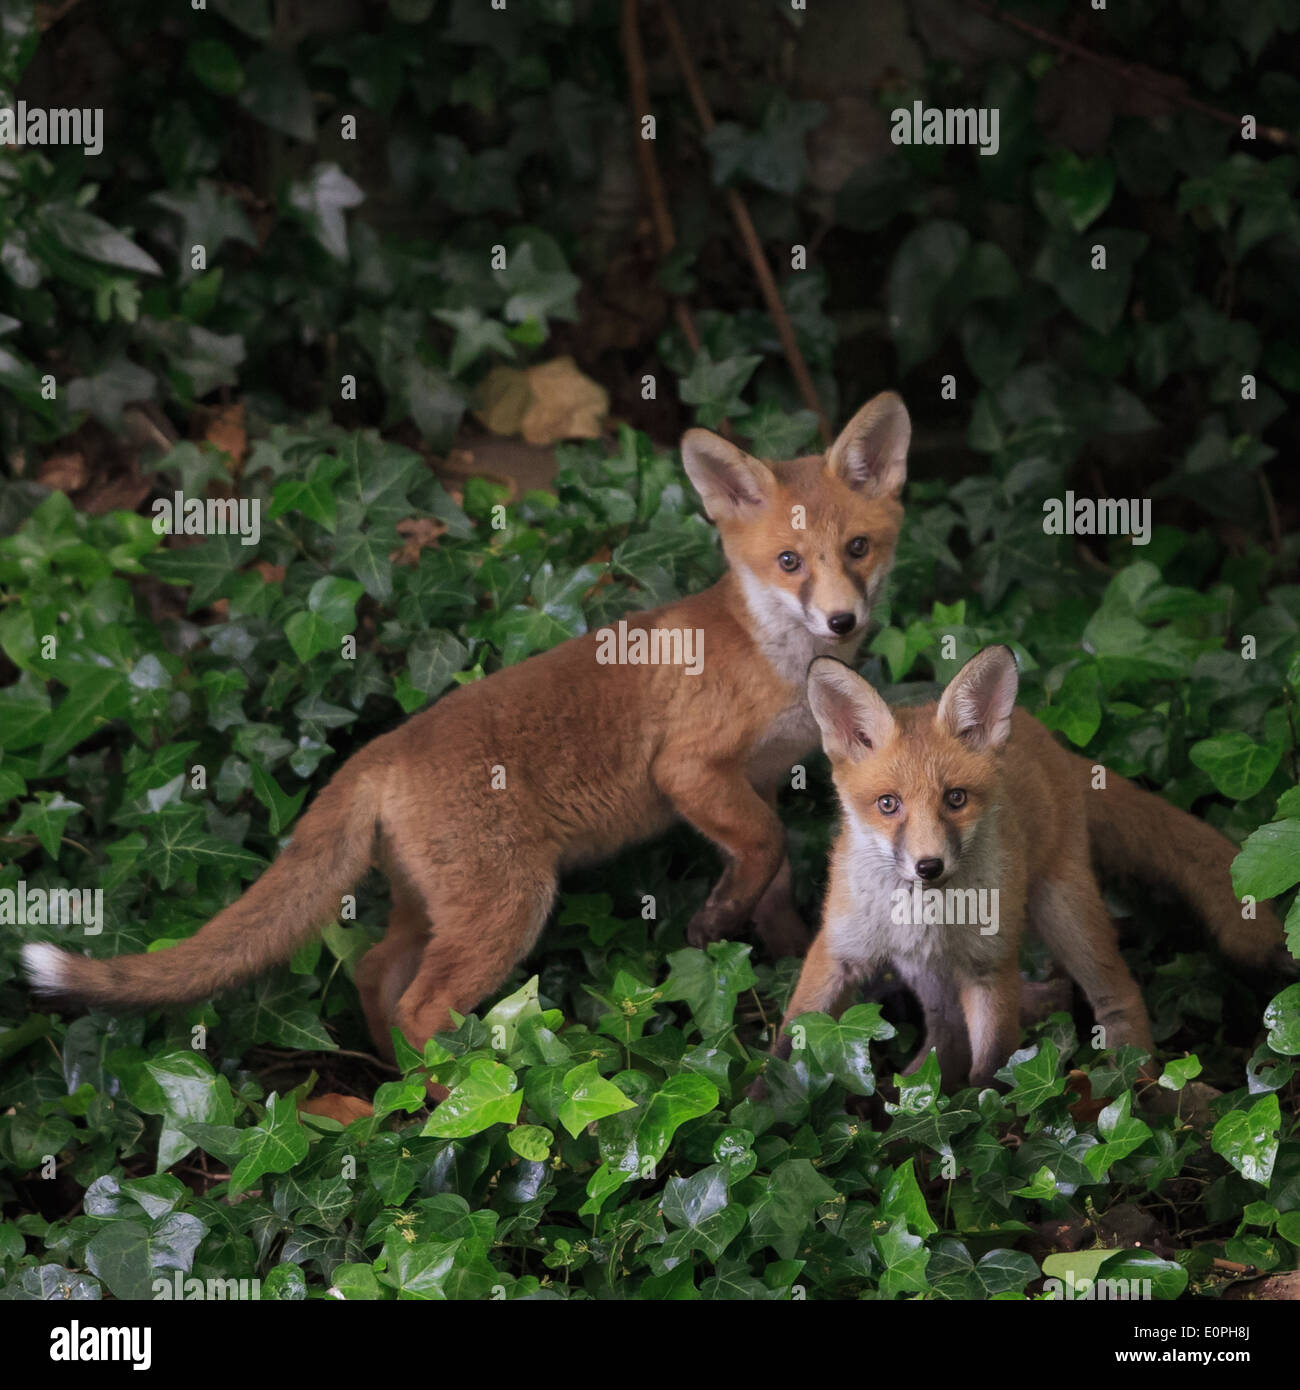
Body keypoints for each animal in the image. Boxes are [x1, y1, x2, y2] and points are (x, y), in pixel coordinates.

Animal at [22, 392, 913, 1066]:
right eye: (790, 562)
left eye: (857, 548)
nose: (841, 621)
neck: (777, 662)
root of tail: (379, 751)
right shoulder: (690, 769)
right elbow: (763, 848)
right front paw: (718, 924)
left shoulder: (759, 778)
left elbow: (777, 877)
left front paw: (791, 956)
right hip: (509, 906)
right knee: (422, 1003)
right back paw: (457, 1097)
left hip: (434, 905)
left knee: (375, 972)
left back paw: (398, 1087)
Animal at [768, 645, 1289, 1089]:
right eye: (888, 804)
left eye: (955, 799)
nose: (928, 866)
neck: (928, 912)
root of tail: (1046, 737)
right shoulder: (839, 950)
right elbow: (787, 1043)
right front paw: (767, 1102)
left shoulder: (990, 965)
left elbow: (993, 1068)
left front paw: (992, 1120)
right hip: (925, 970)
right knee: (946, 1035)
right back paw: (916, 1096)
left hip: (1067, 916)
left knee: (1119, 996)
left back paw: (1135, 1083)